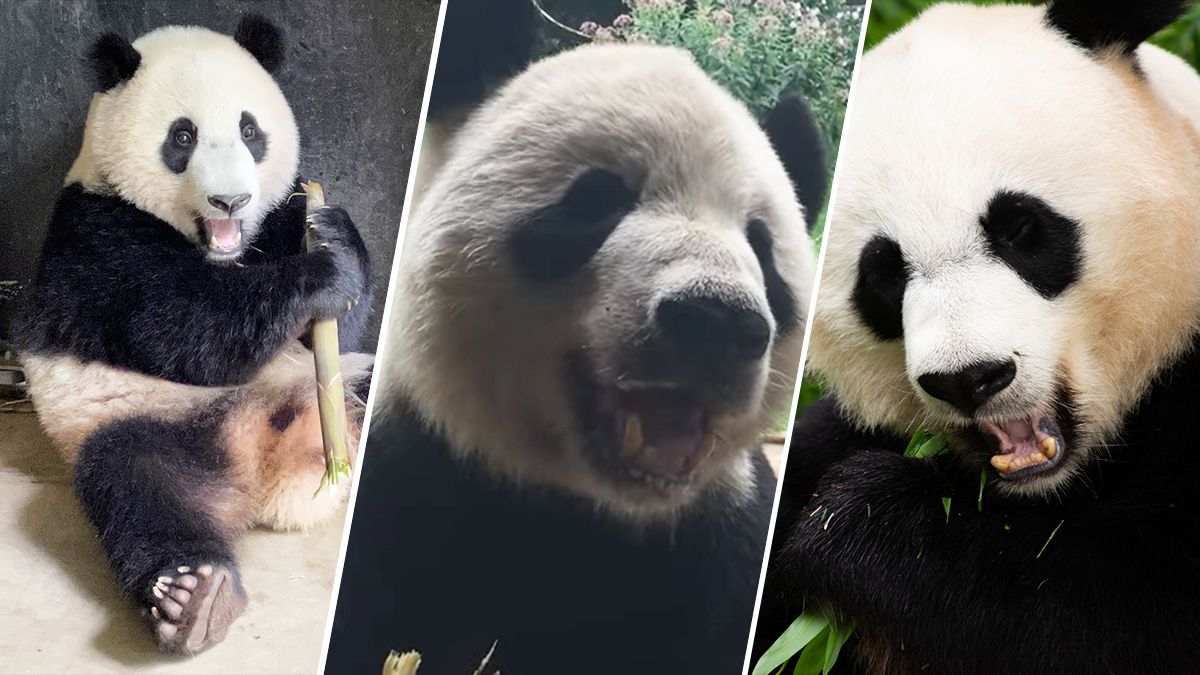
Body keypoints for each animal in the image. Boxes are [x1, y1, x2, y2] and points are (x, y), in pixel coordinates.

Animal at [15, 15, 374, 656]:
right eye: (182, 138)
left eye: (250, 130)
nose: (230, 200)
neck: (223, 250)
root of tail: (267, 473)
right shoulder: (95, 237)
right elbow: (184, 326)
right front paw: (321, 272)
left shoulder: (276, 220)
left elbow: (329, 336)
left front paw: (335, 235)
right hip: (156, 423)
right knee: (139, 483)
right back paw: (194, 599)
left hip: (347, 388)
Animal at [323, 2, 828, 674]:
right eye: (597, 201)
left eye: (762, 246)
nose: (717, 321)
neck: (586, 506)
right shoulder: (409, 488)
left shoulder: (716, 538)